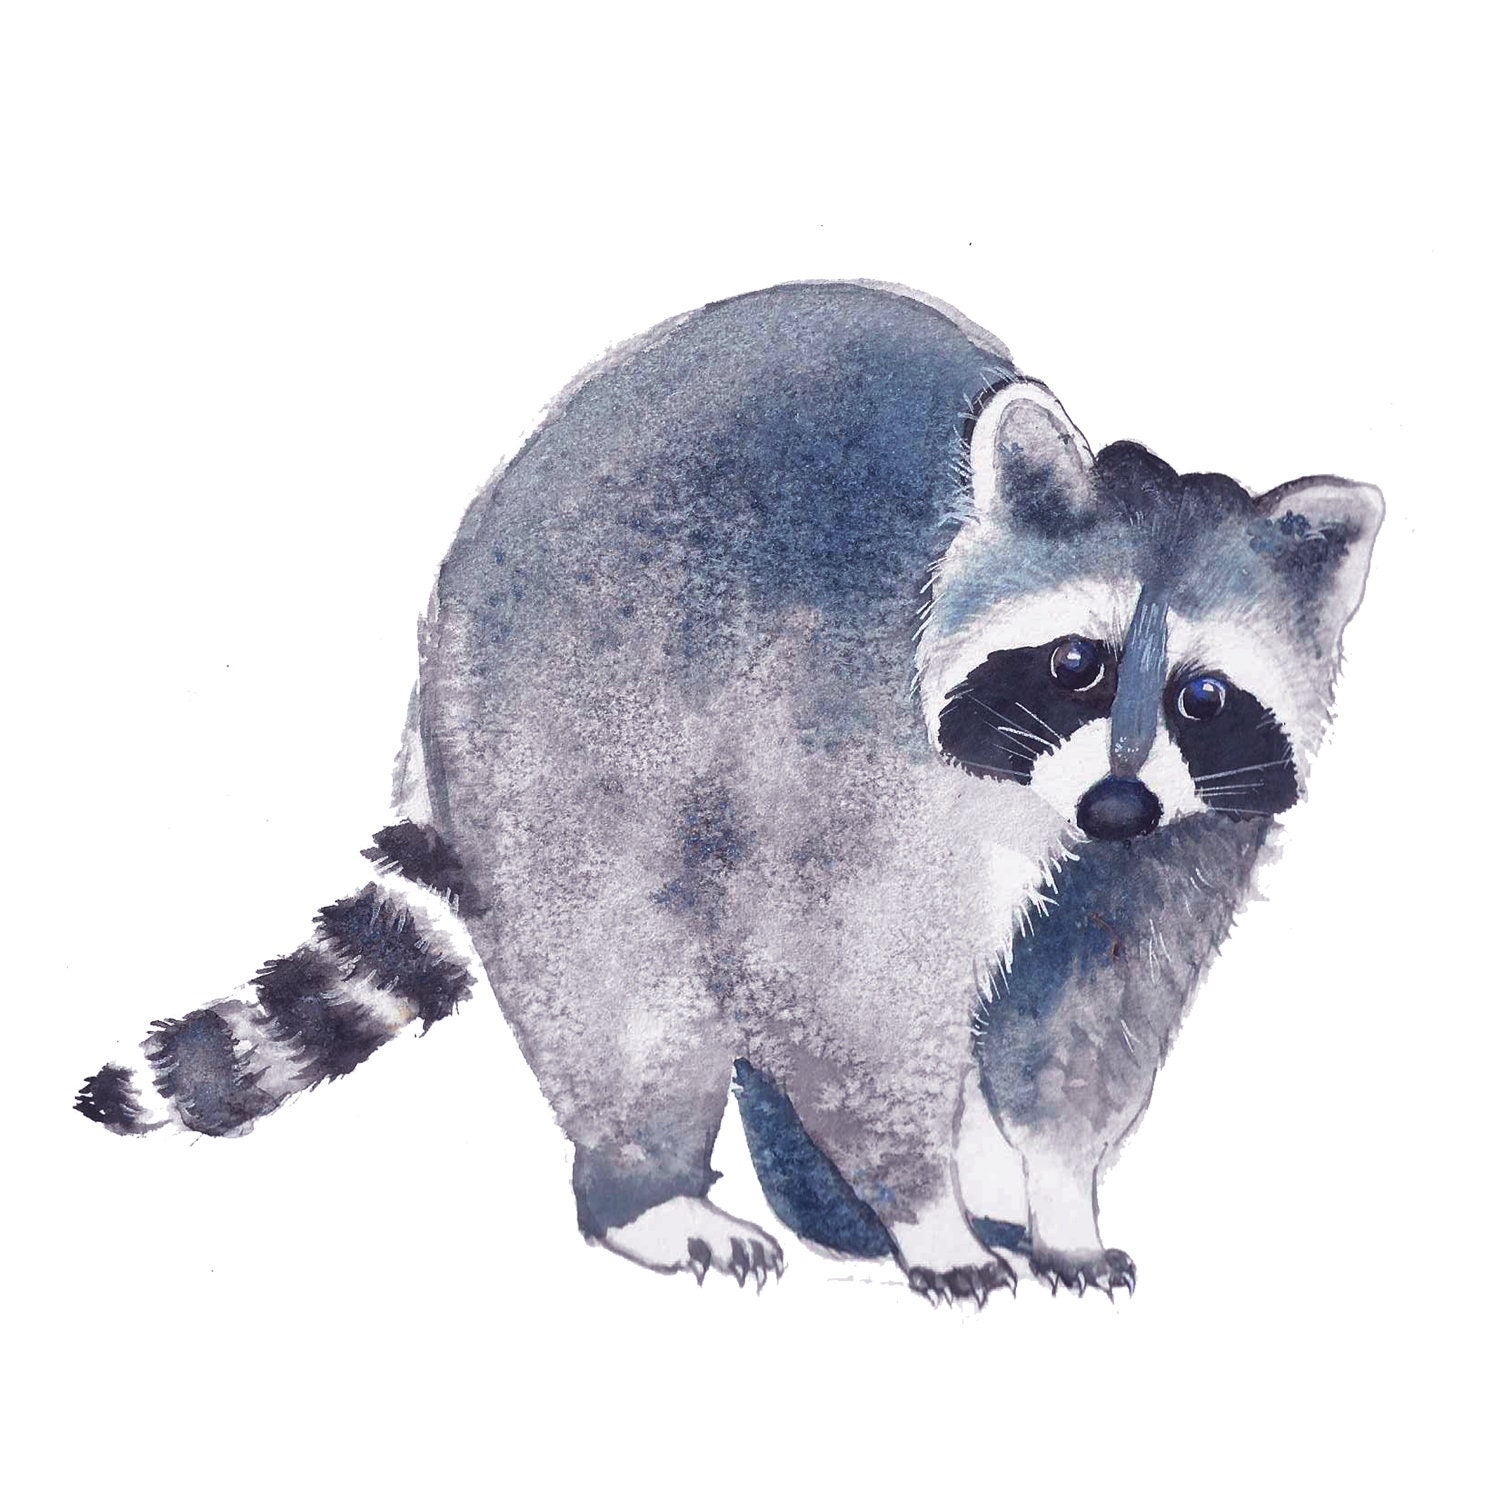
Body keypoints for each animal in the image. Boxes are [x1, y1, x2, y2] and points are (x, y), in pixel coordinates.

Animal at [76, 281, 1380, 1303]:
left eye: (1203, 695)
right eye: (1074, 663)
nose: (1113, 809)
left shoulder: (1183, 838)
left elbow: (1086, 1008)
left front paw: (1058, 1197)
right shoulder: (869, 772)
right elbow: (845, 990)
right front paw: (925, 1212)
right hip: (561, 732)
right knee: (627, 990)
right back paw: (647, 1194)